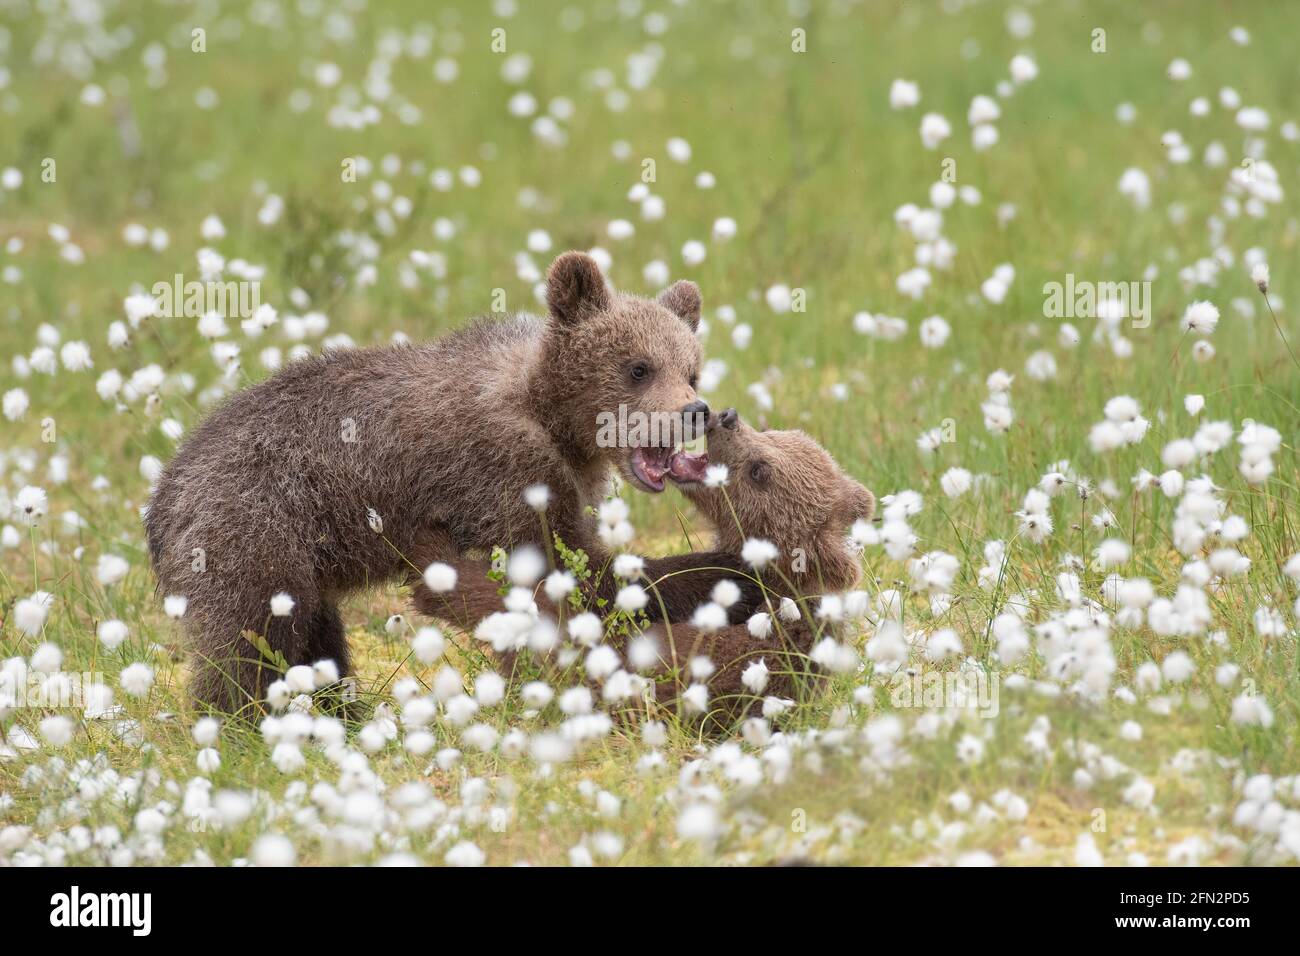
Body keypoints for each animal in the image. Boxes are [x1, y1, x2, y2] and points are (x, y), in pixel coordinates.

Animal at [145, 251, 759, 714]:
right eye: (638, 367)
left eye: (691, 369)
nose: (695, 410)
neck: (550, 419)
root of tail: (164, 490)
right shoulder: (500, 474)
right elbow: (572, 573)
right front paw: (721, 573)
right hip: (254, 525)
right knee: (253, 642)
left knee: (314, 636)